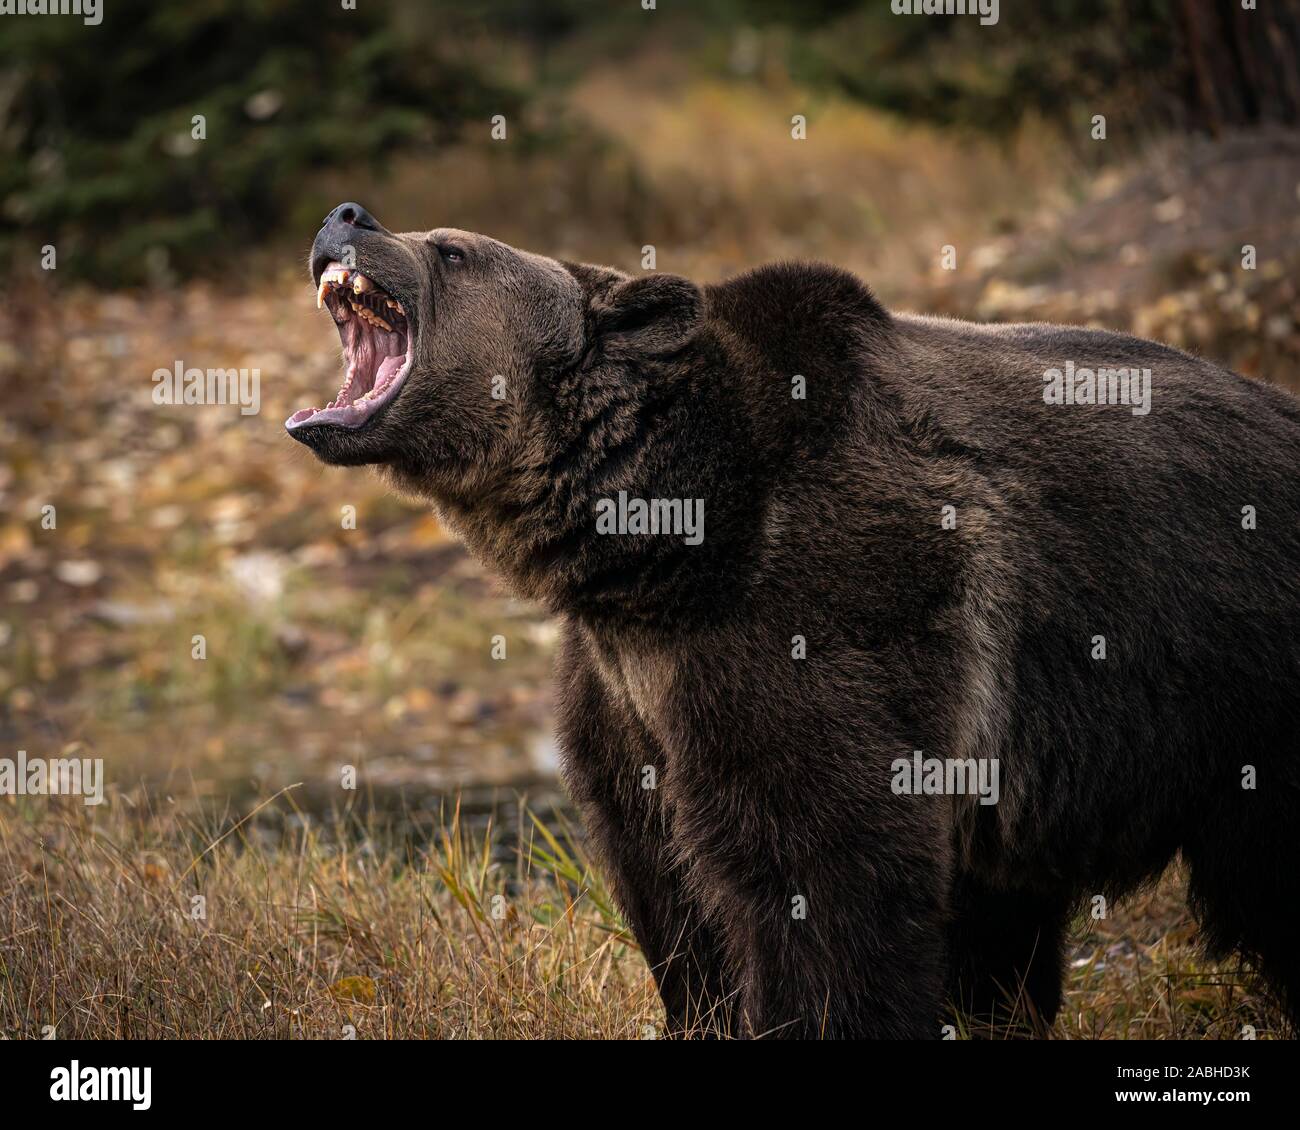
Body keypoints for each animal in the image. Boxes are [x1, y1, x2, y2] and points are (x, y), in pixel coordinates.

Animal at [288, 202, 1300, 1039]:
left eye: (453, 249)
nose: (345, 214)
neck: (670, 547)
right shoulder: (629, 694)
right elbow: (669, 888)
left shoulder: (825, 622)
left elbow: (825, 877)